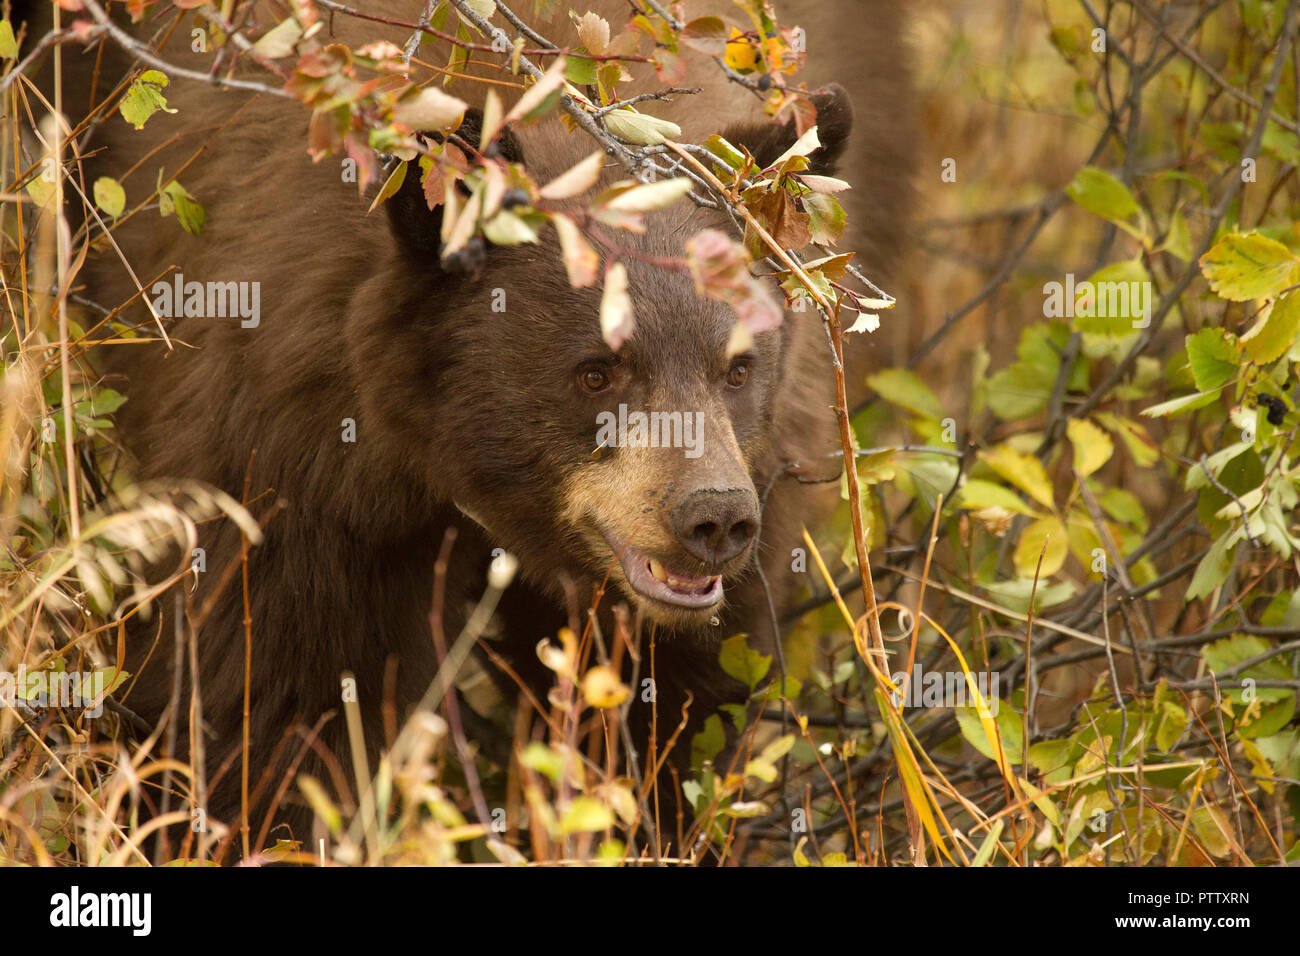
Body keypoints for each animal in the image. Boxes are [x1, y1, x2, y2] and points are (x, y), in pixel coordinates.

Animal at [23, 0, 913, 858]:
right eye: (595, 371)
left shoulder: (765, 470)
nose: (715, 520)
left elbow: (681, 698)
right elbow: (281, 688)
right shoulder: (290, 447)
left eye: (737, 368)